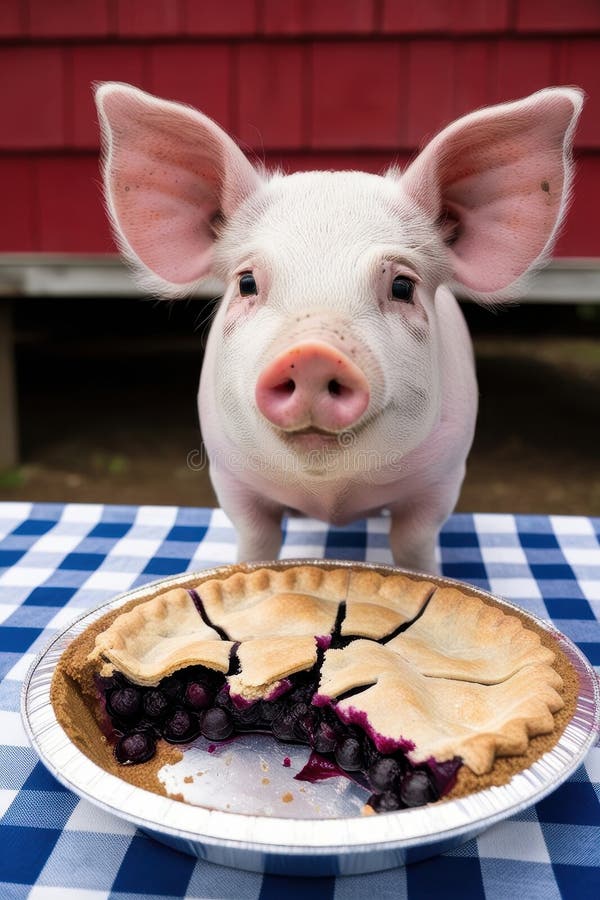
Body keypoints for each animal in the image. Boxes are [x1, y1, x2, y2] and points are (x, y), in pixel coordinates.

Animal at [95, 83, 582, 574]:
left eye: (403, 286)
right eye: (247, 282)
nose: (312, 354)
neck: (332, 498)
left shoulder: (442, 478)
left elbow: (414, 542)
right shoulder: (230, 475)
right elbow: (256, 538)